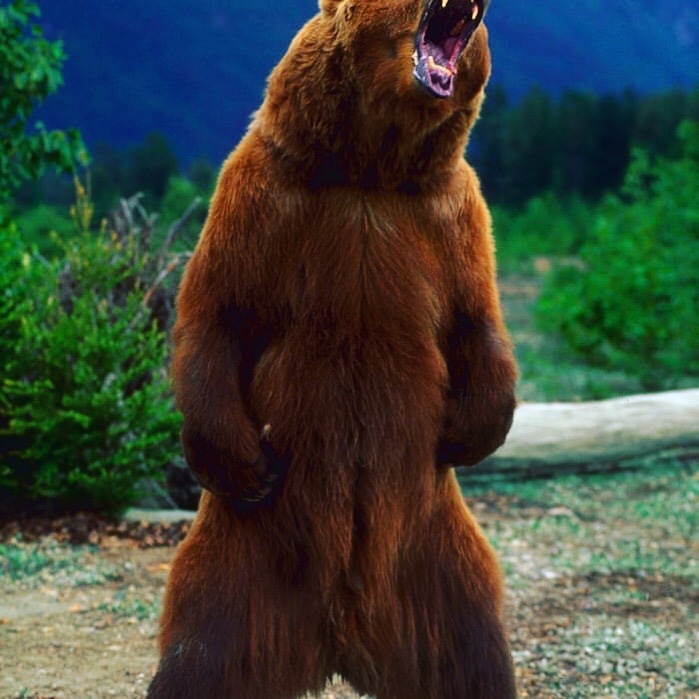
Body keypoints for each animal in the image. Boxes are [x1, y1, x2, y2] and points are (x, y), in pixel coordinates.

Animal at [148, 0, 517, 697]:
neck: (368, 167)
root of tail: (341, 638)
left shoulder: (448, 212)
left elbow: (474, 320)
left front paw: (467, 430)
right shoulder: (264, 195)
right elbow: (217, 313)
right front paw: (246, 462)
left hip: (439, 563)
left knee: (473, 651)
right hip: (241, 563)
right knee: (201, 652)